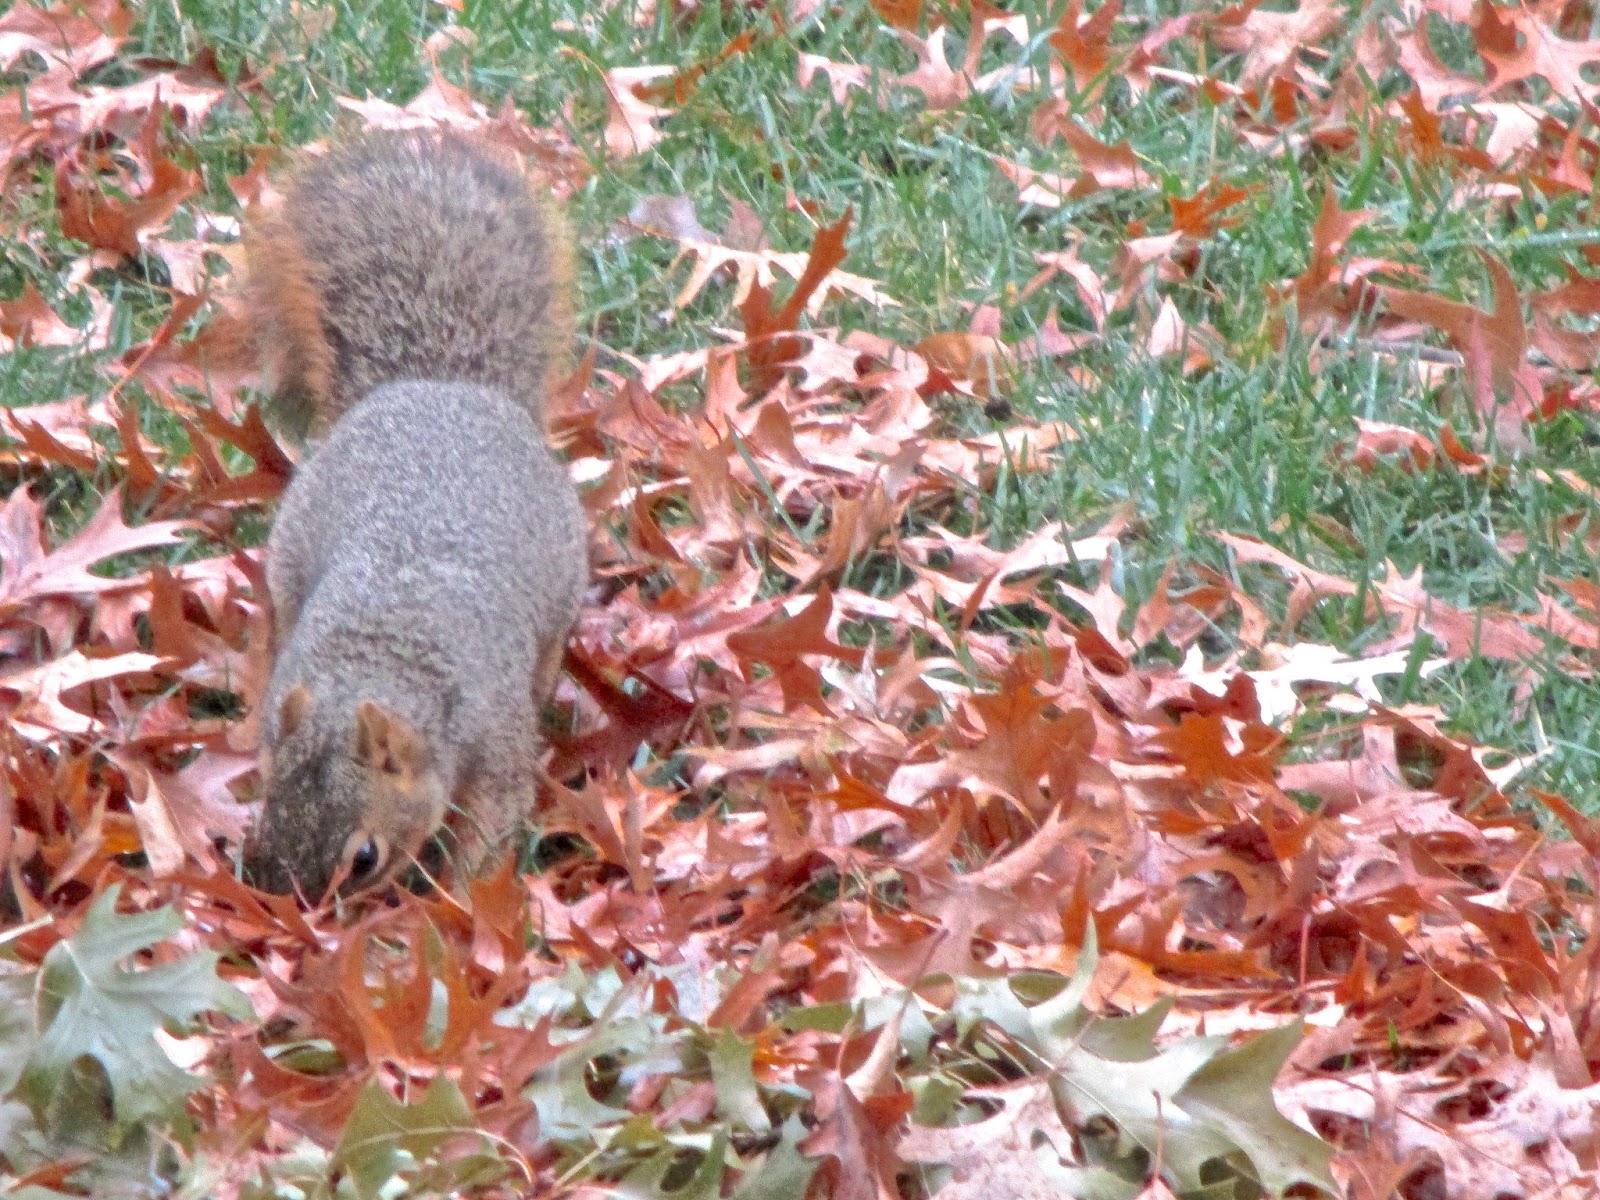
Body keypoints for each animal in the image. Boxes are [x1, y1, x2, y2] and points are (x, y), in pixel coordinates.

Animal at [238, 128, 587, 902]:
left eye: (365, 858)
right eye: (266, 818)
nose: (300, 911)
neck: (380, 664)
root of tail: (438, 384)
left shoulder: (495, 742)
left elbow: (491, 826)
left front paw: (456, 900)